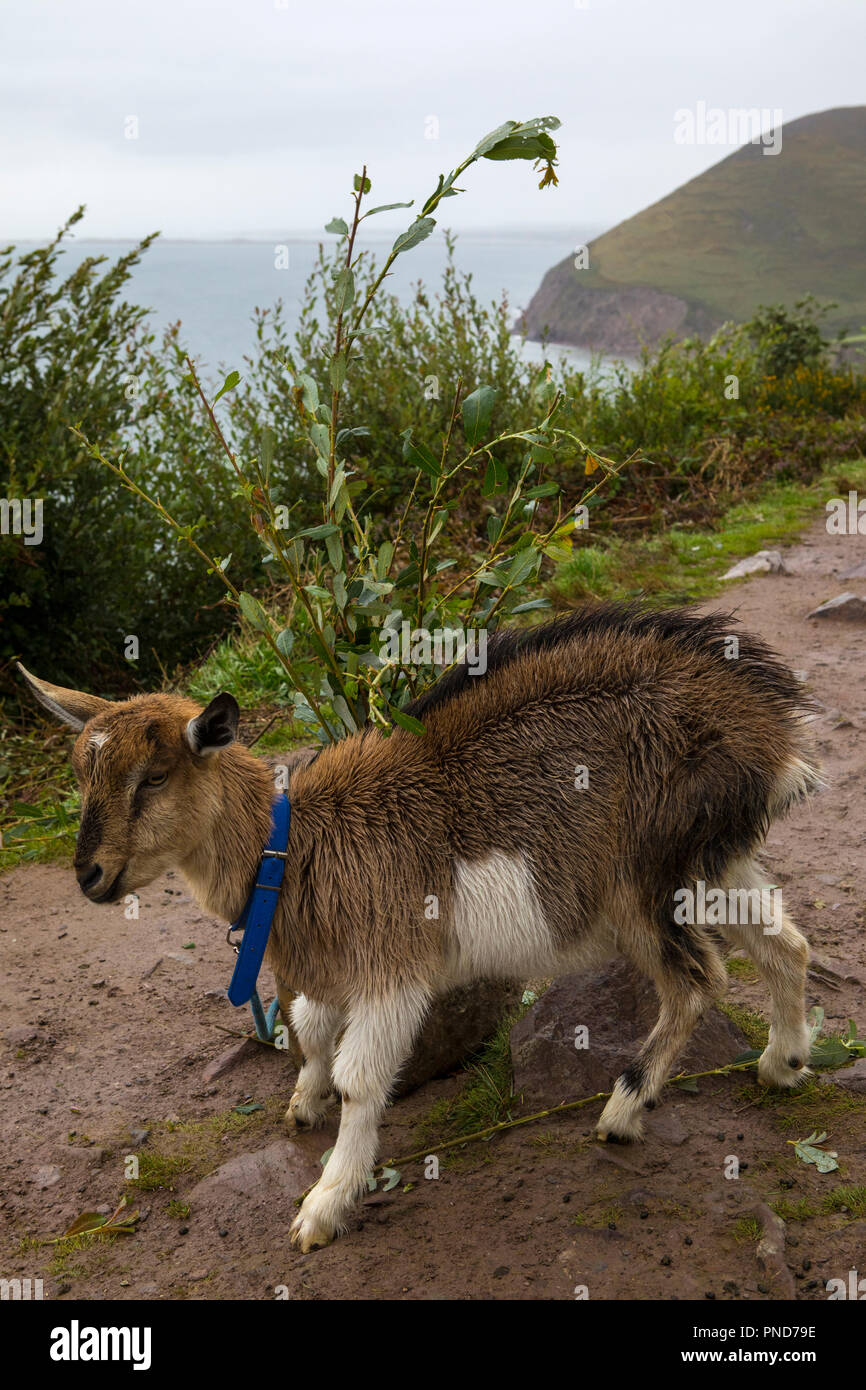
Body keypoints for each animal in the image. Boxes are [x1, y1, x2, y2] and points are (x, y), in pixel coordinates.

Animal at [18, 603, 820, 1252]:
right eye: (82, 775)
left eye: (153, 778)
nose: (90, 876)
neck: (294, 846)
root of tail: (770, 728)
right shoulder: (332, 968)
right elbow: (310, 1031)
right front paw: (302, 1105)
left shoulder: (392, 966)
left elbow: (360, 1078)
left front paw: (323, 1206)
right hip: (713, 862)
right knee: (785, 944)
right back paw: (782, 1064)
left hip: (642, 879)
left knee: (698, 979)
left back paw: (624, 1109)